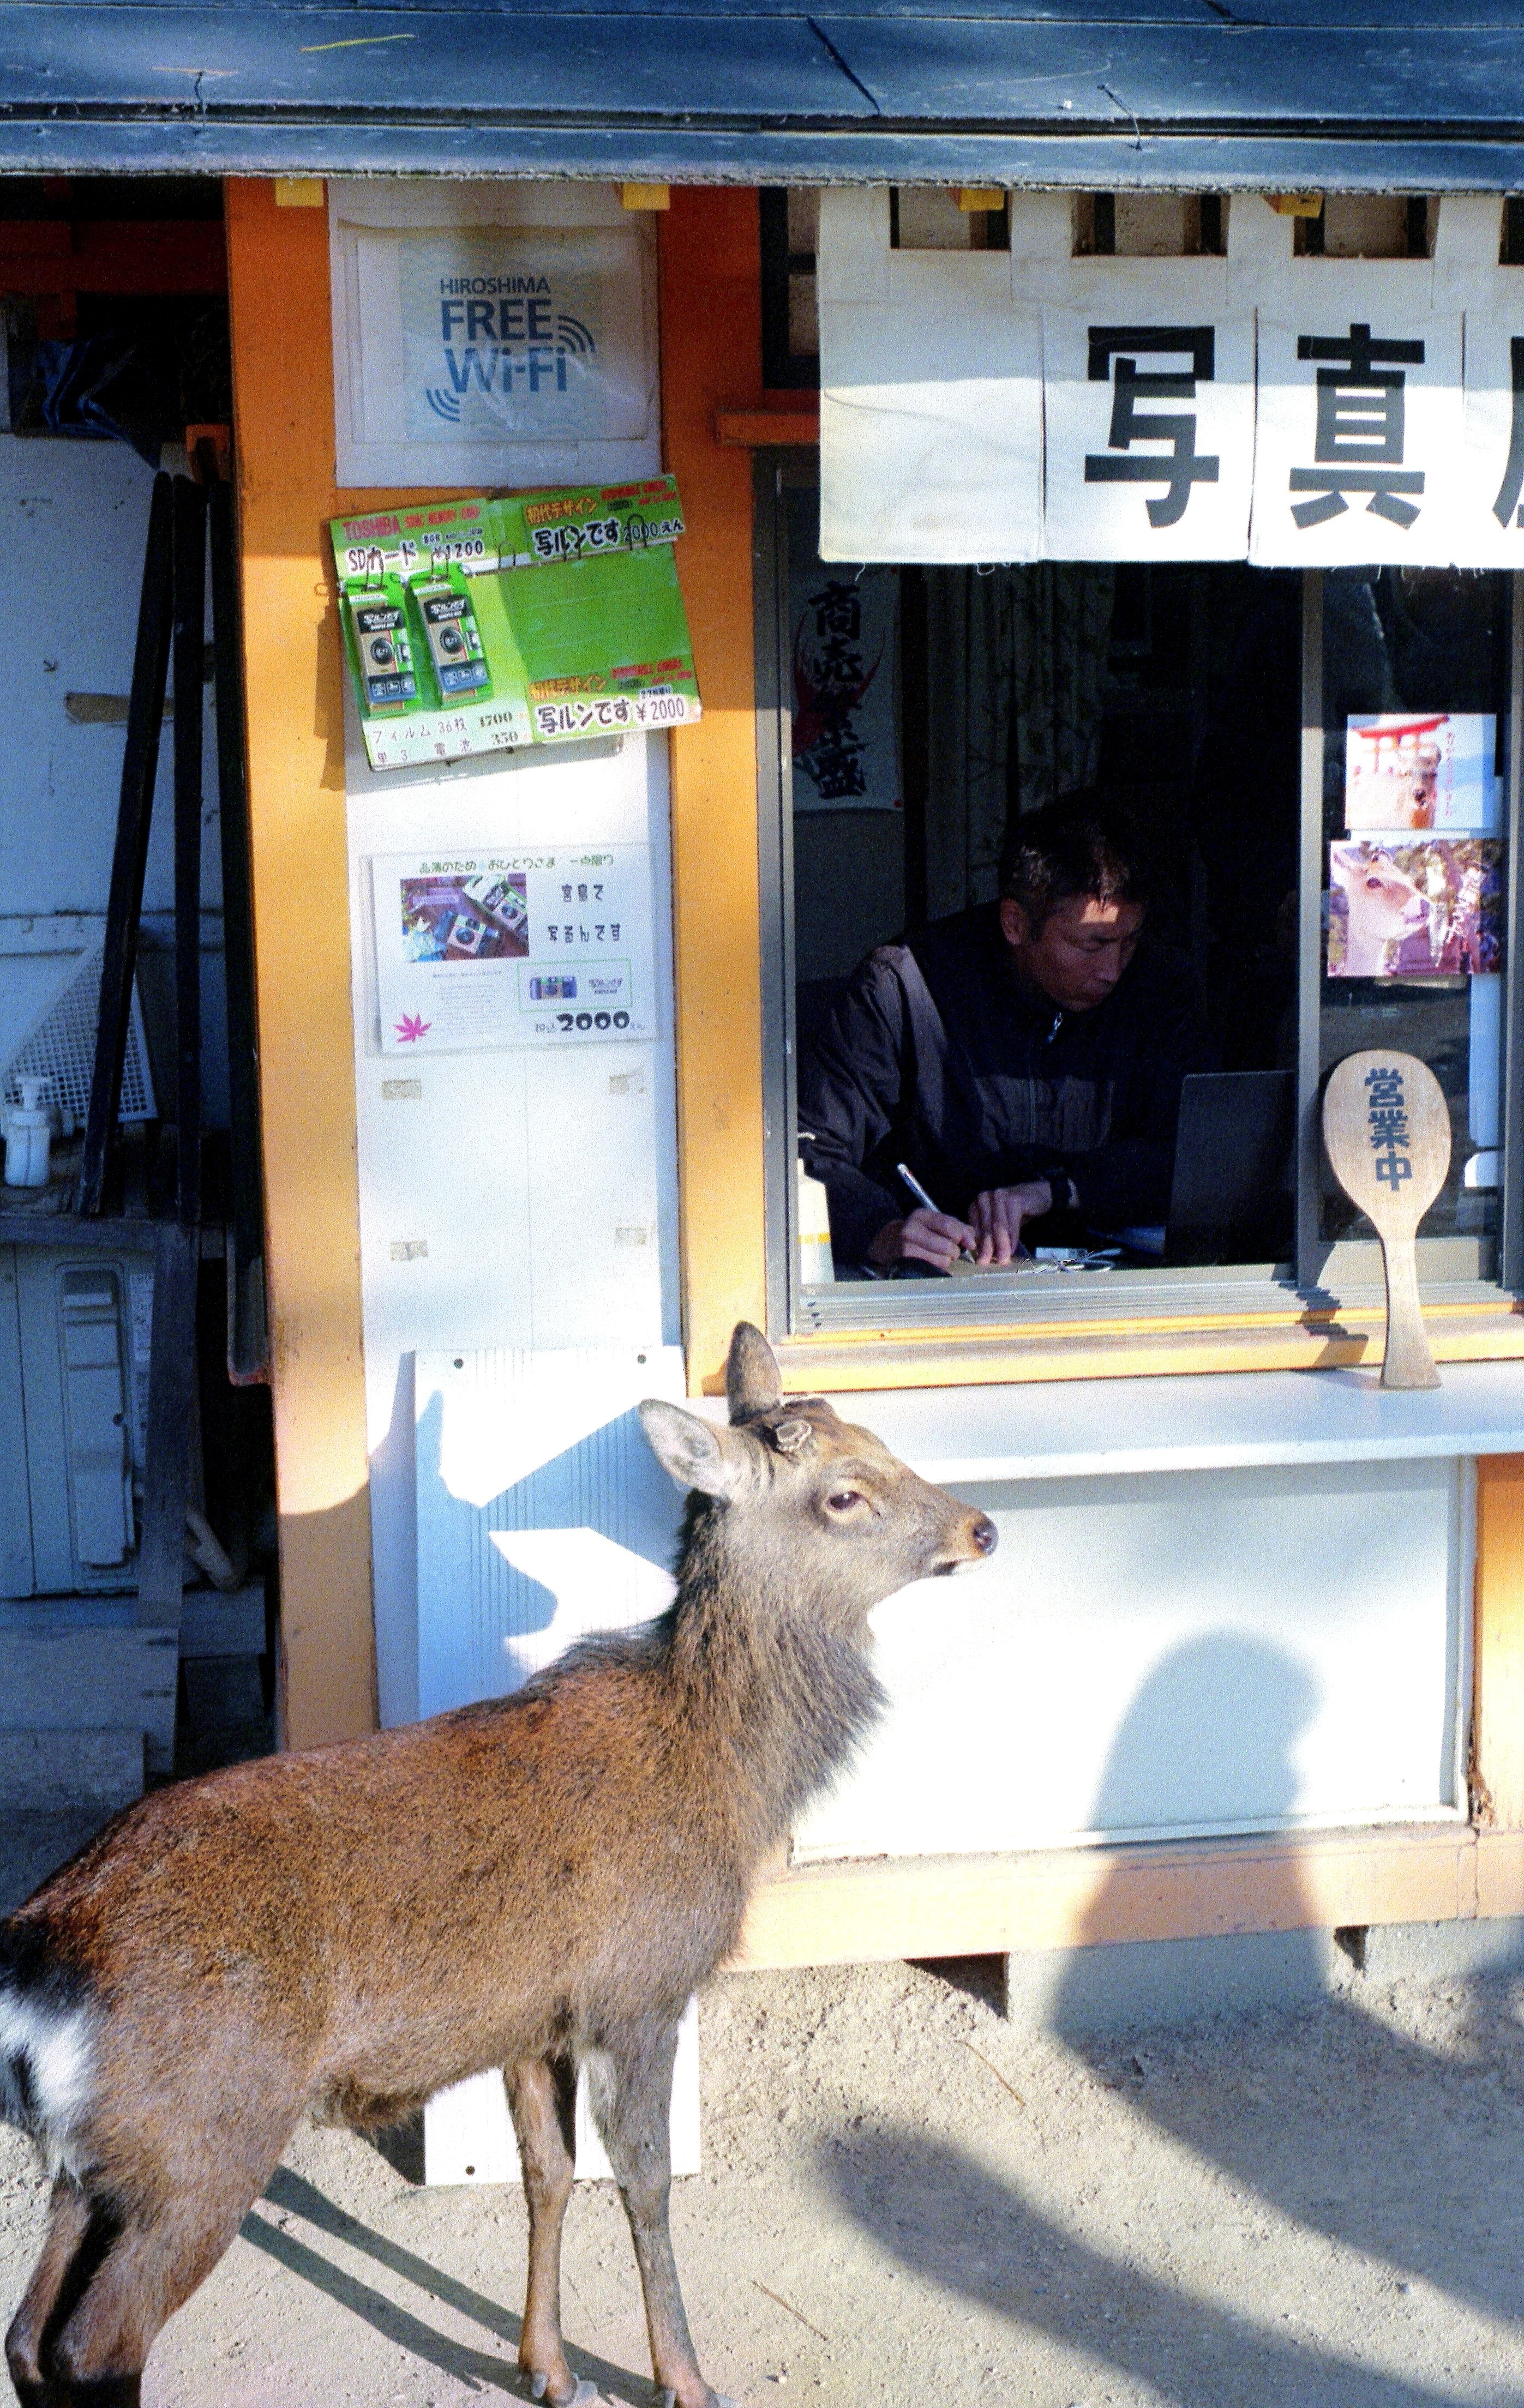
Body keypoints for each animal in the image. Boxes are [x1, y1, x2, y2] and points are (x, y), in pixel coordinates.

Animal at [1, 1323, 996, 2408]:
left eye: (879, 1437)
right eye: (842, 1493)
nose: (982, 1528)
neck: (726, 1772)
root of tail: (34, 1974)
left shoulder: (529, 2018)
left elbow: (547, 2174)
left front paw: (547, 2367)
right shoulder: (638, 1988)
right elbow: (642, 2181)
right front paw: (683, 2380)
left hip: (94, 2159)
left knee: (28, 2334)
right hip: (205, 2133)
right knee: (92, 2343)